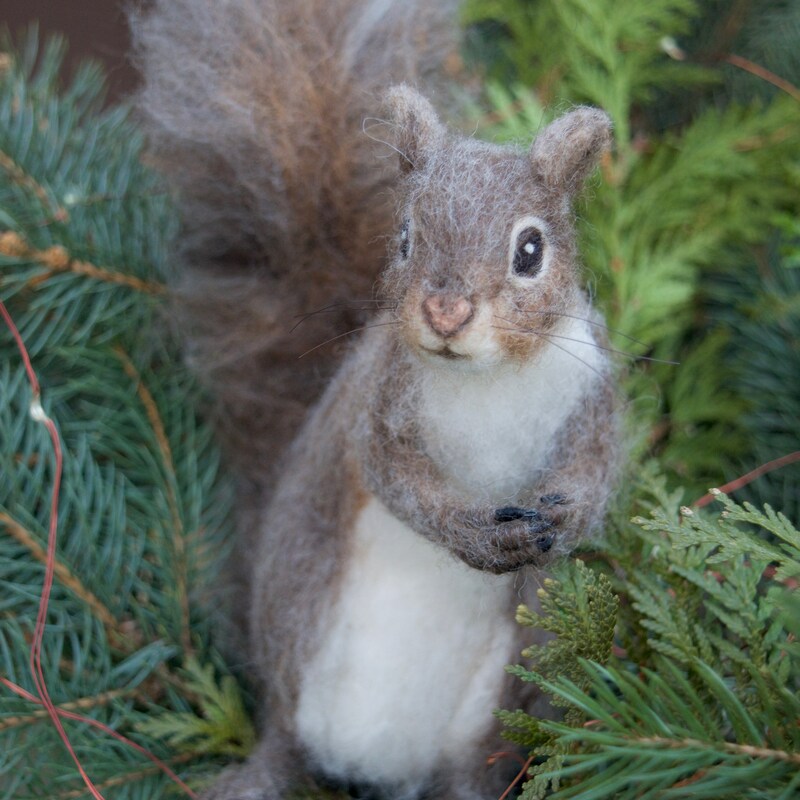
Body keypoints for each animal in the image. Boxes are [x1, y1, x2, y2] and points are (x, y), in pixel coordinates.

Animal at [132, 1, 621, 799]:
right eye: (405, 237)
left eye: (531, 251)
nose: (447, 312)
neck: (490, 378)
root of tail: (375, 762)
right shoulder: (378, 398)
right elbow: (395, 478)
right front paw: (477, 535)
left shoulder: (592, 391)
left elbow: (597, 471)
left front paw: (568, 514)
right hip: (301, 627)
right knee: (286, 747)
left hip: (496, 706)